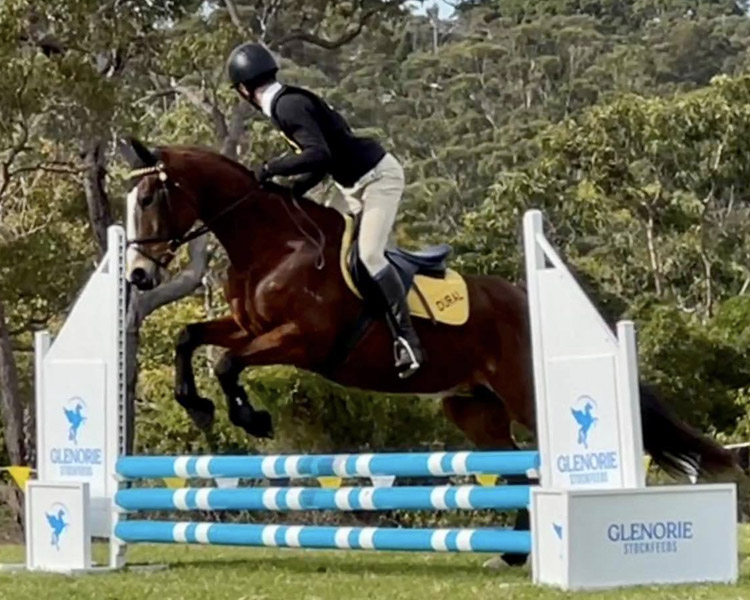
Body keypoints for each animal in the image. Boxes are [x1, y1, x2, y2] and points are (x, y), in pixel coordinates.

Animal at [121, 137, 738, 562]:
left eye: (150, 196)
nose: (137, 276)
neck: (272, 243)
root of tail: (523, 300)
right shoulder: (245, 325)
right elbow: (190, 337)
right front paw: (198, 405)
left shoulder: (301, 341)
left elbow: (229, 362)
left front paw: (251, 418)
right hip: (472, 408)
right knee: (517, 474)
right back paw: (513, 555)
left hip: (525, 396)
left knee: (539, 464)